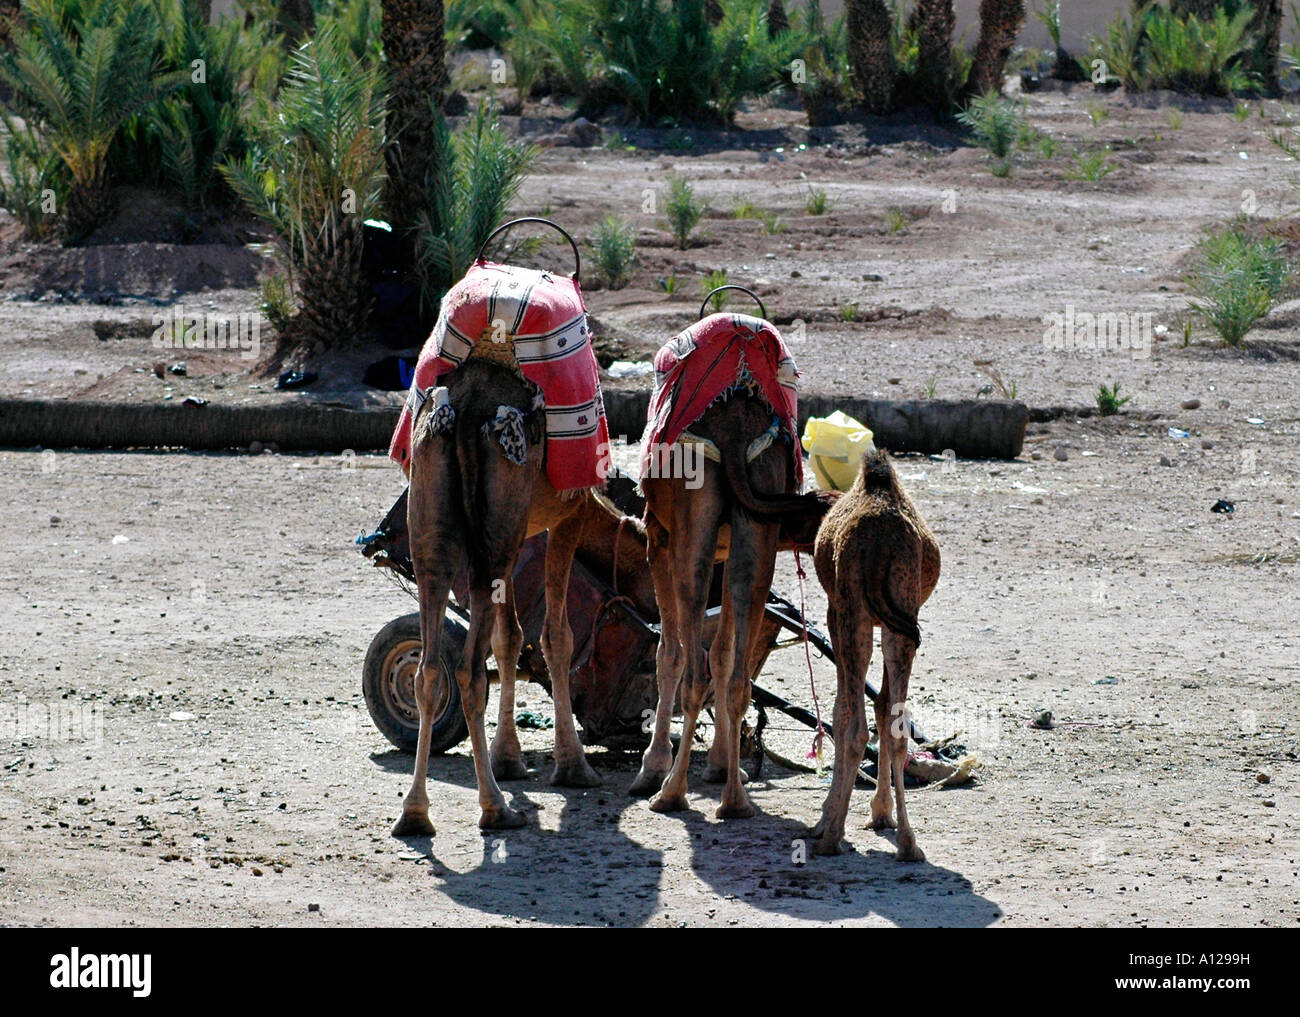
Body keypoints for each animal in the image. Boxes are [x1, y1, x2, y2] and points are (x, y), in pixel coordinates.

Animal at [392, 353, 603, 836]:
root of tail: (467, 408)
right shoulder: (571, 510)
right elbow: (555, 637)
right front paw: (573, 766)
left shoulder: (524, 529)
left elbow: (510, 638)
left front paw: (508, 759)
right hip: (501, 516)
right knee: (469, 671)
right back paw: (495, 808)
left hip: (436, 523)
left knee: (430, 668)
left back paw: (414, 812)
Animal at [809, 447, 940, 860]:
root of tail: (881, 544)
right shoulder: (894, 619)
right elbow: (884, 708)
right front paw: (882, 813)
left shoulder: (835, 610)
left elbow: (842, 711)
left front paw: (825, 819)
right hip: (902, 615)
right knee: (895, 724)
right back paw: (909, 844)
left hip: (854, 613)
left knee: (852, 724)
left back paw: (832, 836)